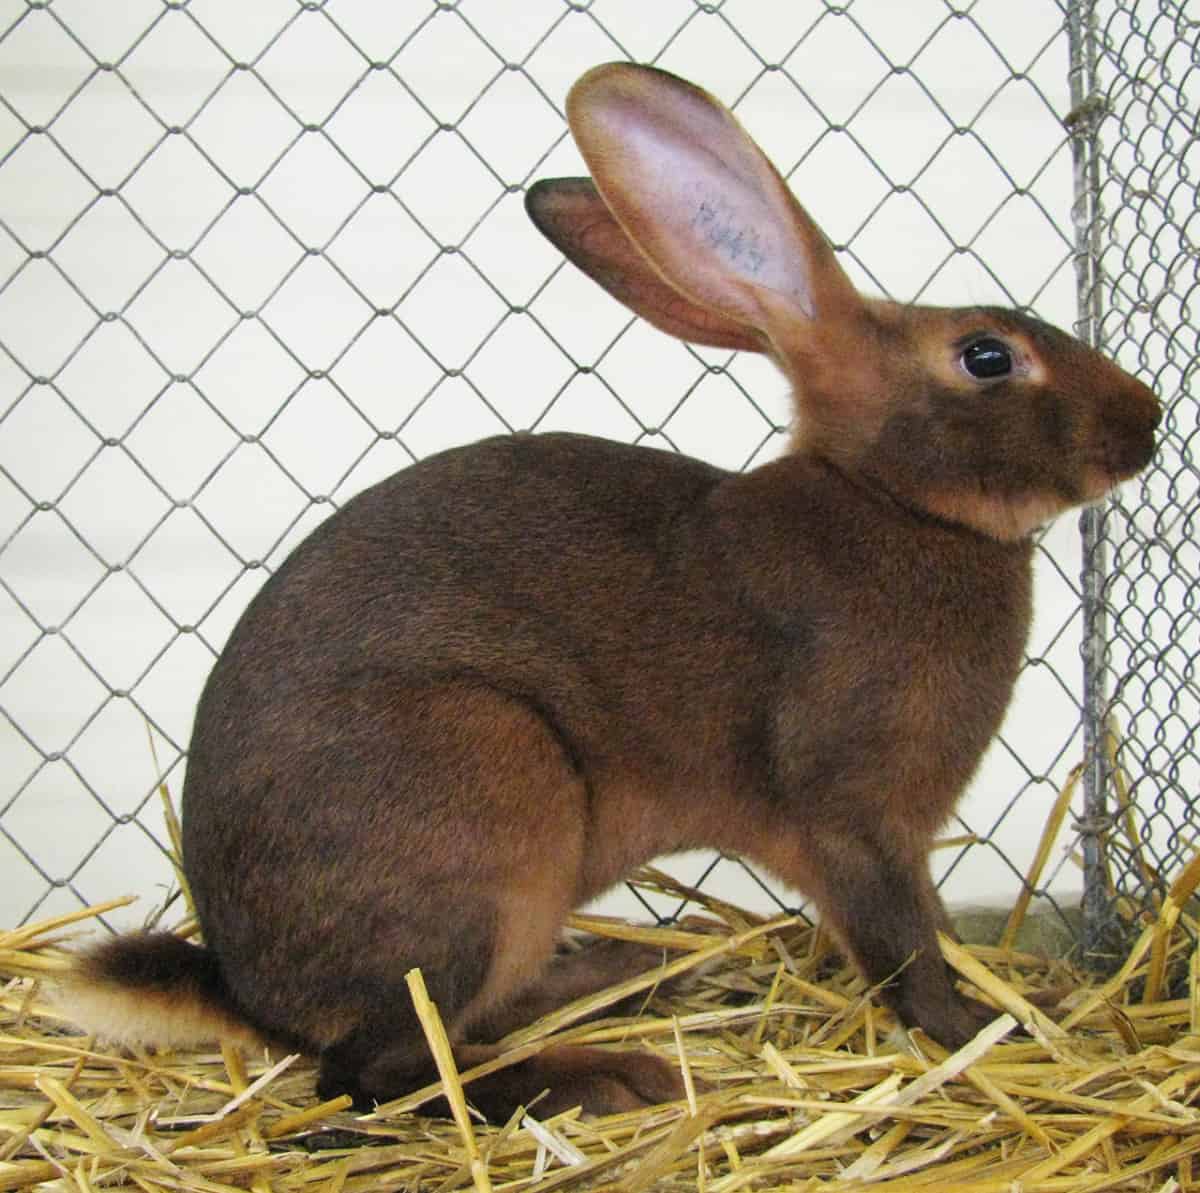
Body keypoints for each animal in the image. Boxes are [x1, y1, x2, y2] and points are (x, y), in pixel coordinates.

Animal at [63, 62, 1160, 1120]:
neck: (891, 500)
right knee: (382, 1069)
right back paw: (604, 1076)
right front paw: (984, 1027)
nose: (1146, 421)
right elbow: (905, 947)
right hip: (484, 806)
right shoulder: (857, 815)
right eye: (987, 355)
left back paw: (634, 975)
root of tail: (249, 988)